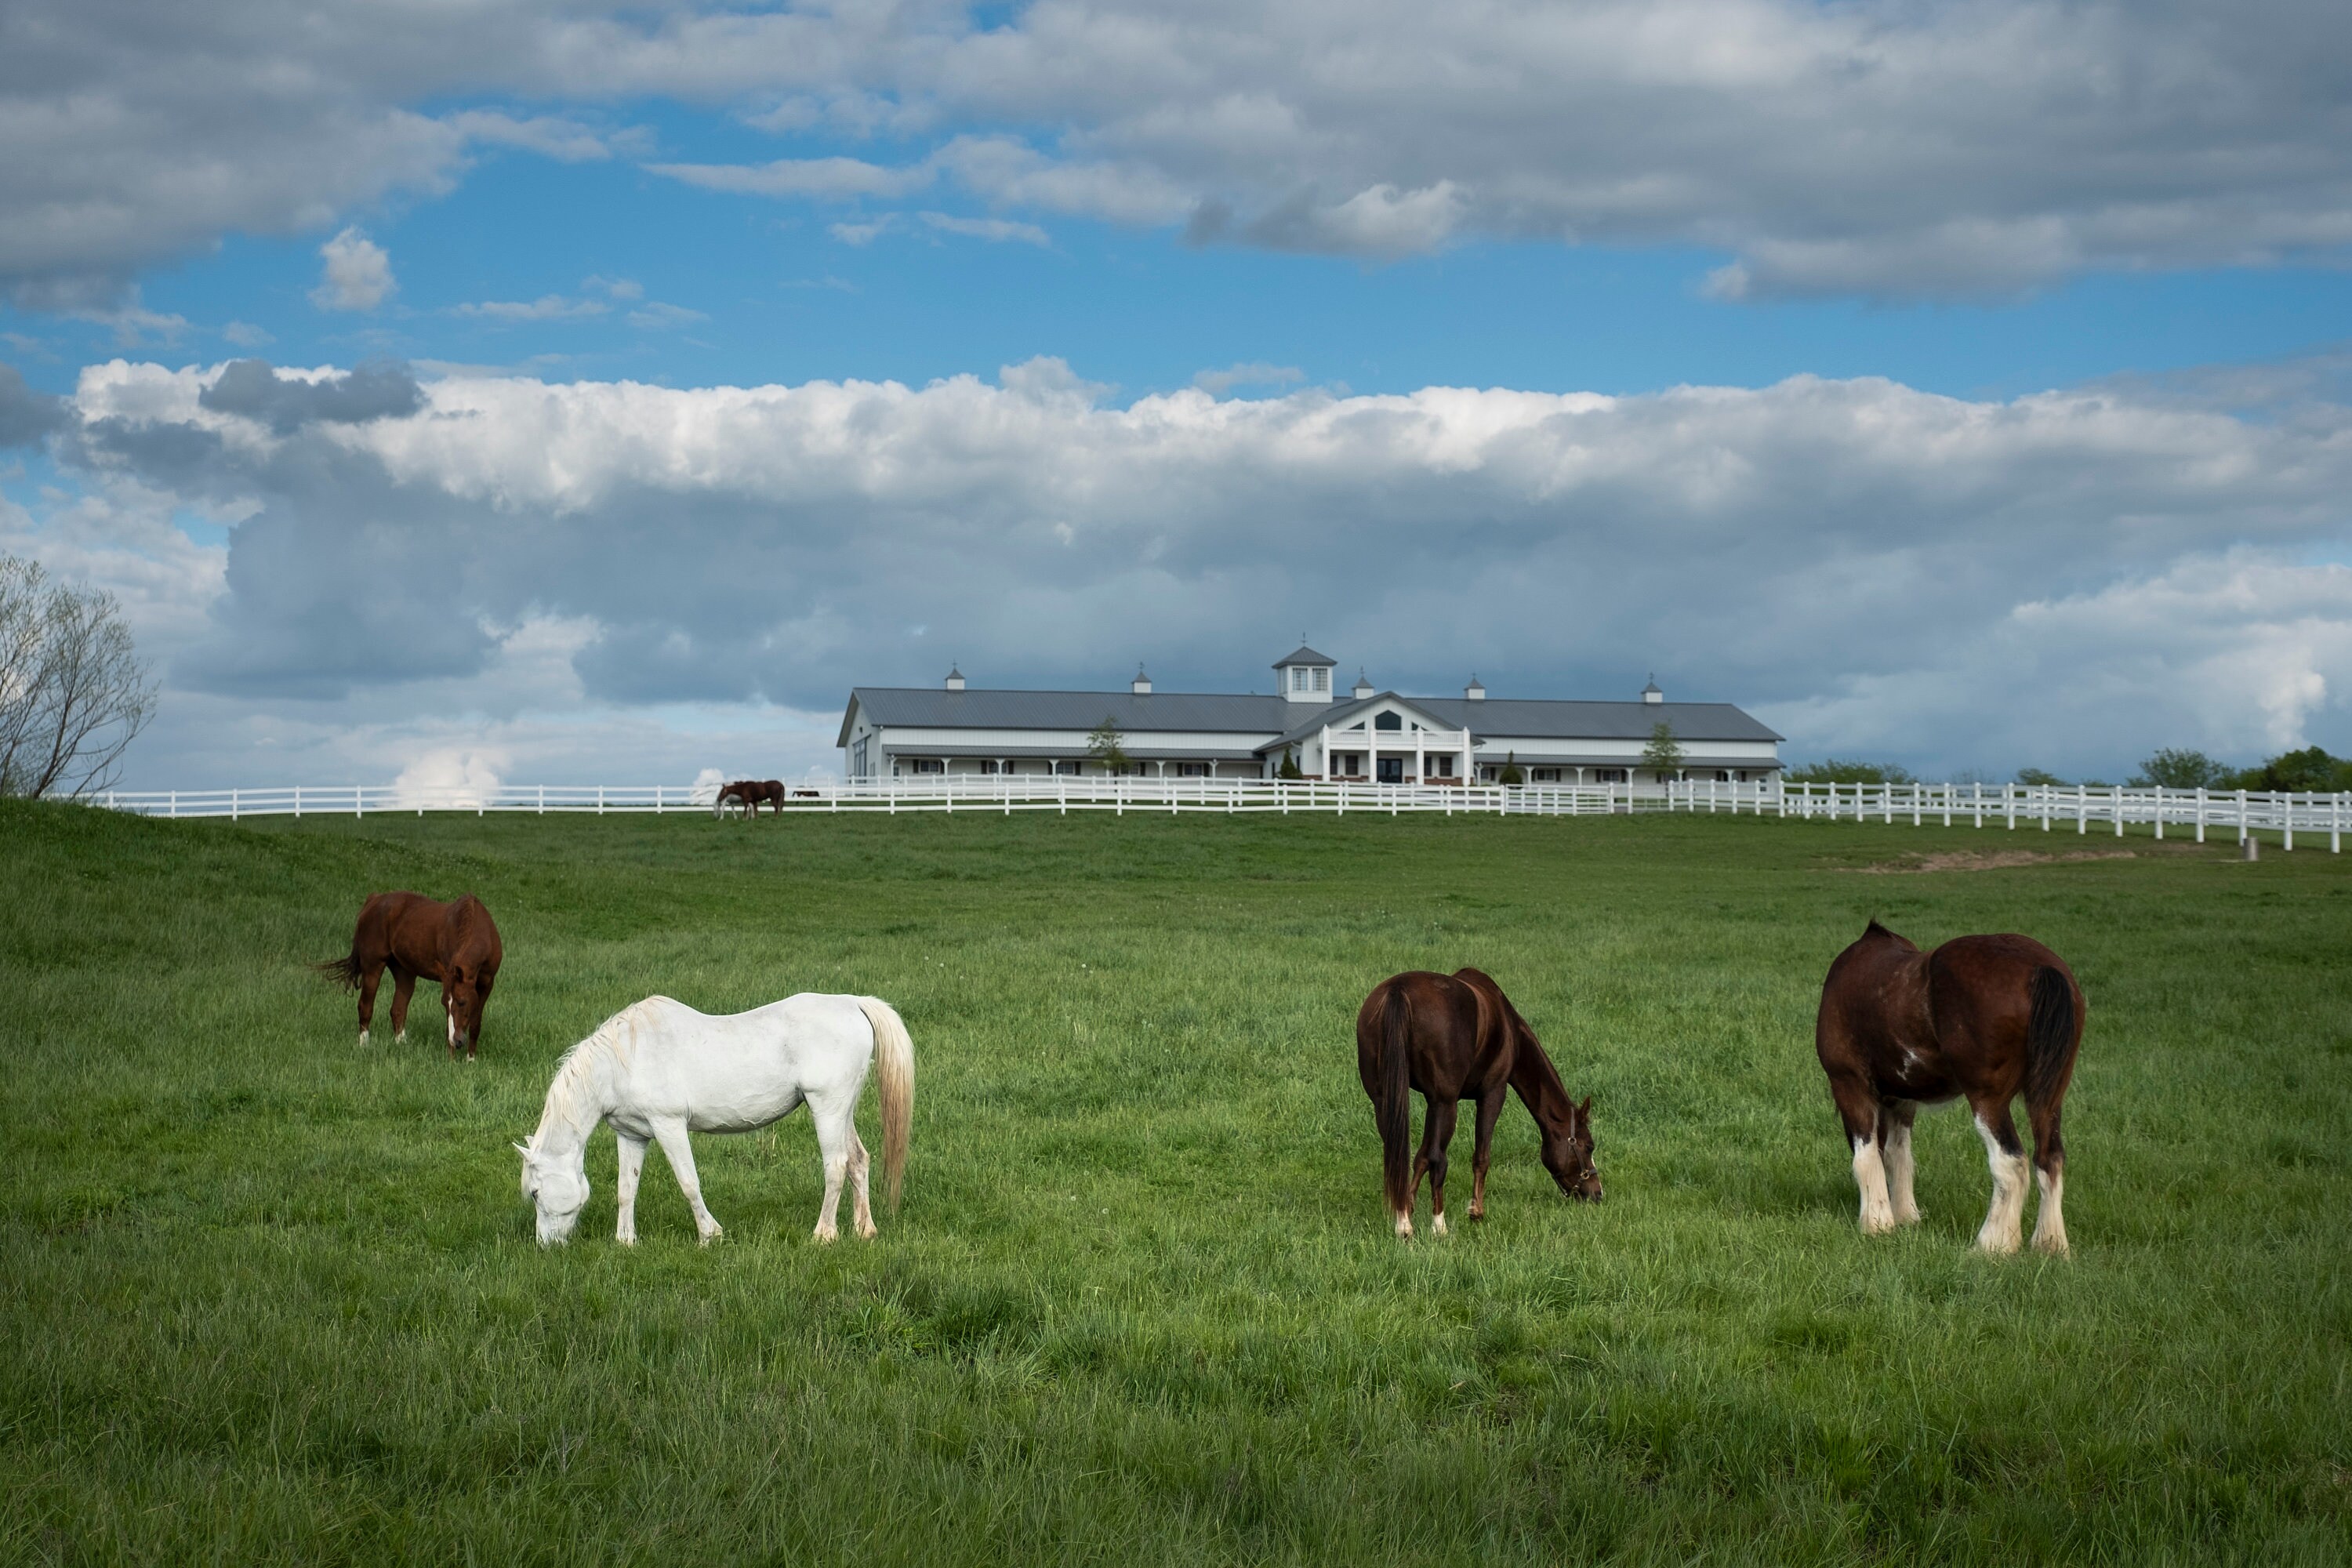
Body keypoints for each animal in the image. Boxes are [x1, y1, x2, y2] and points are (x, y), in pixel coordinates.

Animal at [318, 891, 503, 1059]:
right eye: (444, 1003)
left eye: (462, 1002)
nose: (456, 1041)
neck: (478, 929)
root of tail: (374, 900)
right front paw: (451, 1060)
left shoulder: (486, 984)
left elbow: (476, 1023)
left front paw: (470, 1059)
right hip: (372, 967)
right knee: (366, 1006)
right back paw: (364, 1045)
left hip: (404, 972)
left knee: (398, 1009)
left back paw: (402, 1045)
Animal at [516, 993, 914, 1246]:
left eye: (534, 1192)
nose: (546, 1246)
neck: (623, 1059)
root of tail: (853, 1003)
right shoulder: (632, 1135)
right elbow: (626, 1189)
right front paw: (625, 1241)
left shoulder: (669, 1125)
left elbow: (689, 1182)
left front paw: (709, 1235)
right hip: (841, 1110)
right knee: (858, 1160)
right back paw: (864, 1230)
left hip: (826, 1107)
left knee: (836, 1165)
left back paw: (824, 1235)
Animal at [1356, 967, 1600, 1238]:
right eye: (1589, 1146)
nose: (1597, 1193)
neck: (1507, 1024)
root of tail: (1398, 990)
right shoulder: (1493, 1093)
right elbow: (1480, 1156)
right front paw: (1476, 1212)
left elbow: (1419, 1158)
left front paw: (1409, 1205)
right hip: (1446, 1103)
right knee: (1438, 1158)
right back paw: (1439, 1225)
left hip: (1386, 1101)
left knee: (1398, 1155)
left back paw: (1403, 1222)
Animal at [1815, 921, 2084, 1255]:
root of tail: (2040, 967)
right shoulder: (1902, 1100)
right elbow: (1897, 1155)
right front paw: (1905, 1218)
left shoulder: (1849, 1085)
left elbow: (1867, 1157)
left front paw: (1877, 1224)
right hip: (2048, 1099)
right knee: (2050, 1158)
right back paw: (2050, 1245)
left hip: (1988, 1100)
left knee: (2011, 1162)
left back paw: (1992, 1245)